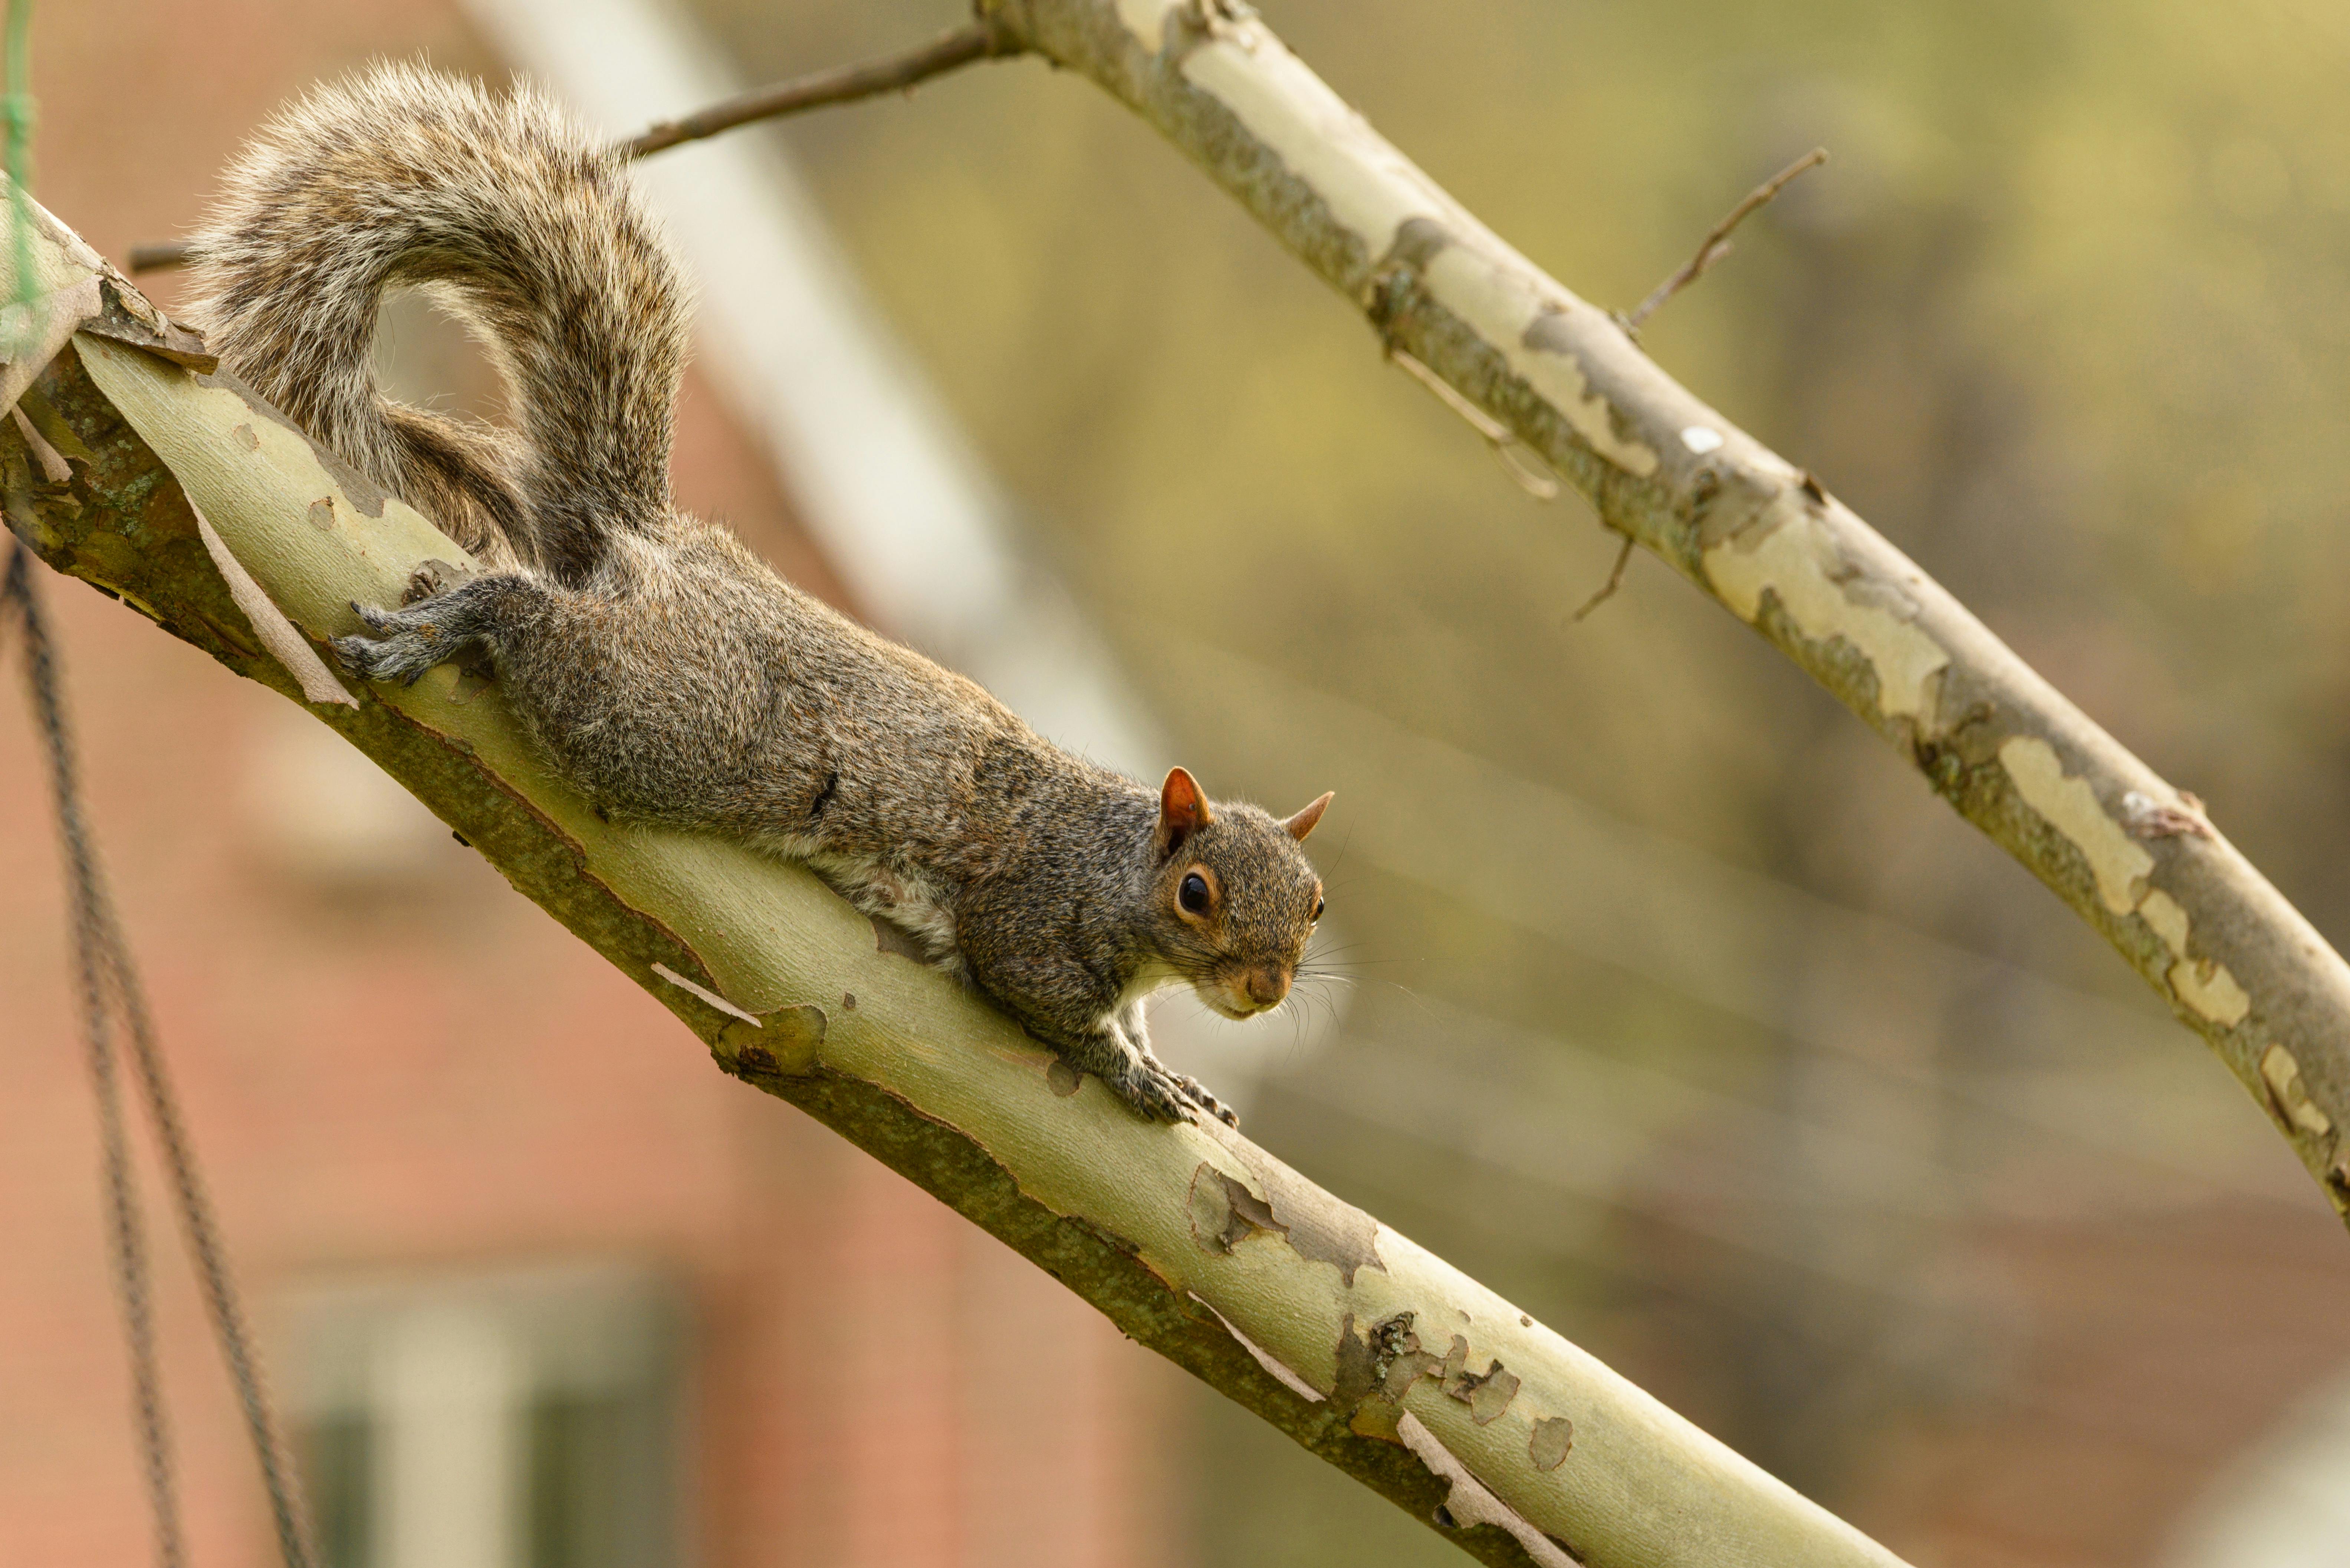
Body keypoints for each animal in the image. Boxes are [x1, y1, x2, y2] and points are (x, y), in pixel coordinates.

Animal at [182, 64, 1333, 1127]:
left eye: (1316, 903)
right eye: (1196, 892)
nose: (1266, 987)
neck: (1116, 861)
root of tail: (656, 546)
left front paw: (1176, 1066)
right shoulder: (1033, 913)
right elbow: (1044, 999)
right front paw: (1134, 1073)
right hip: (670, 720)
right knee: (540, 627)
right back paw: (457, 617)